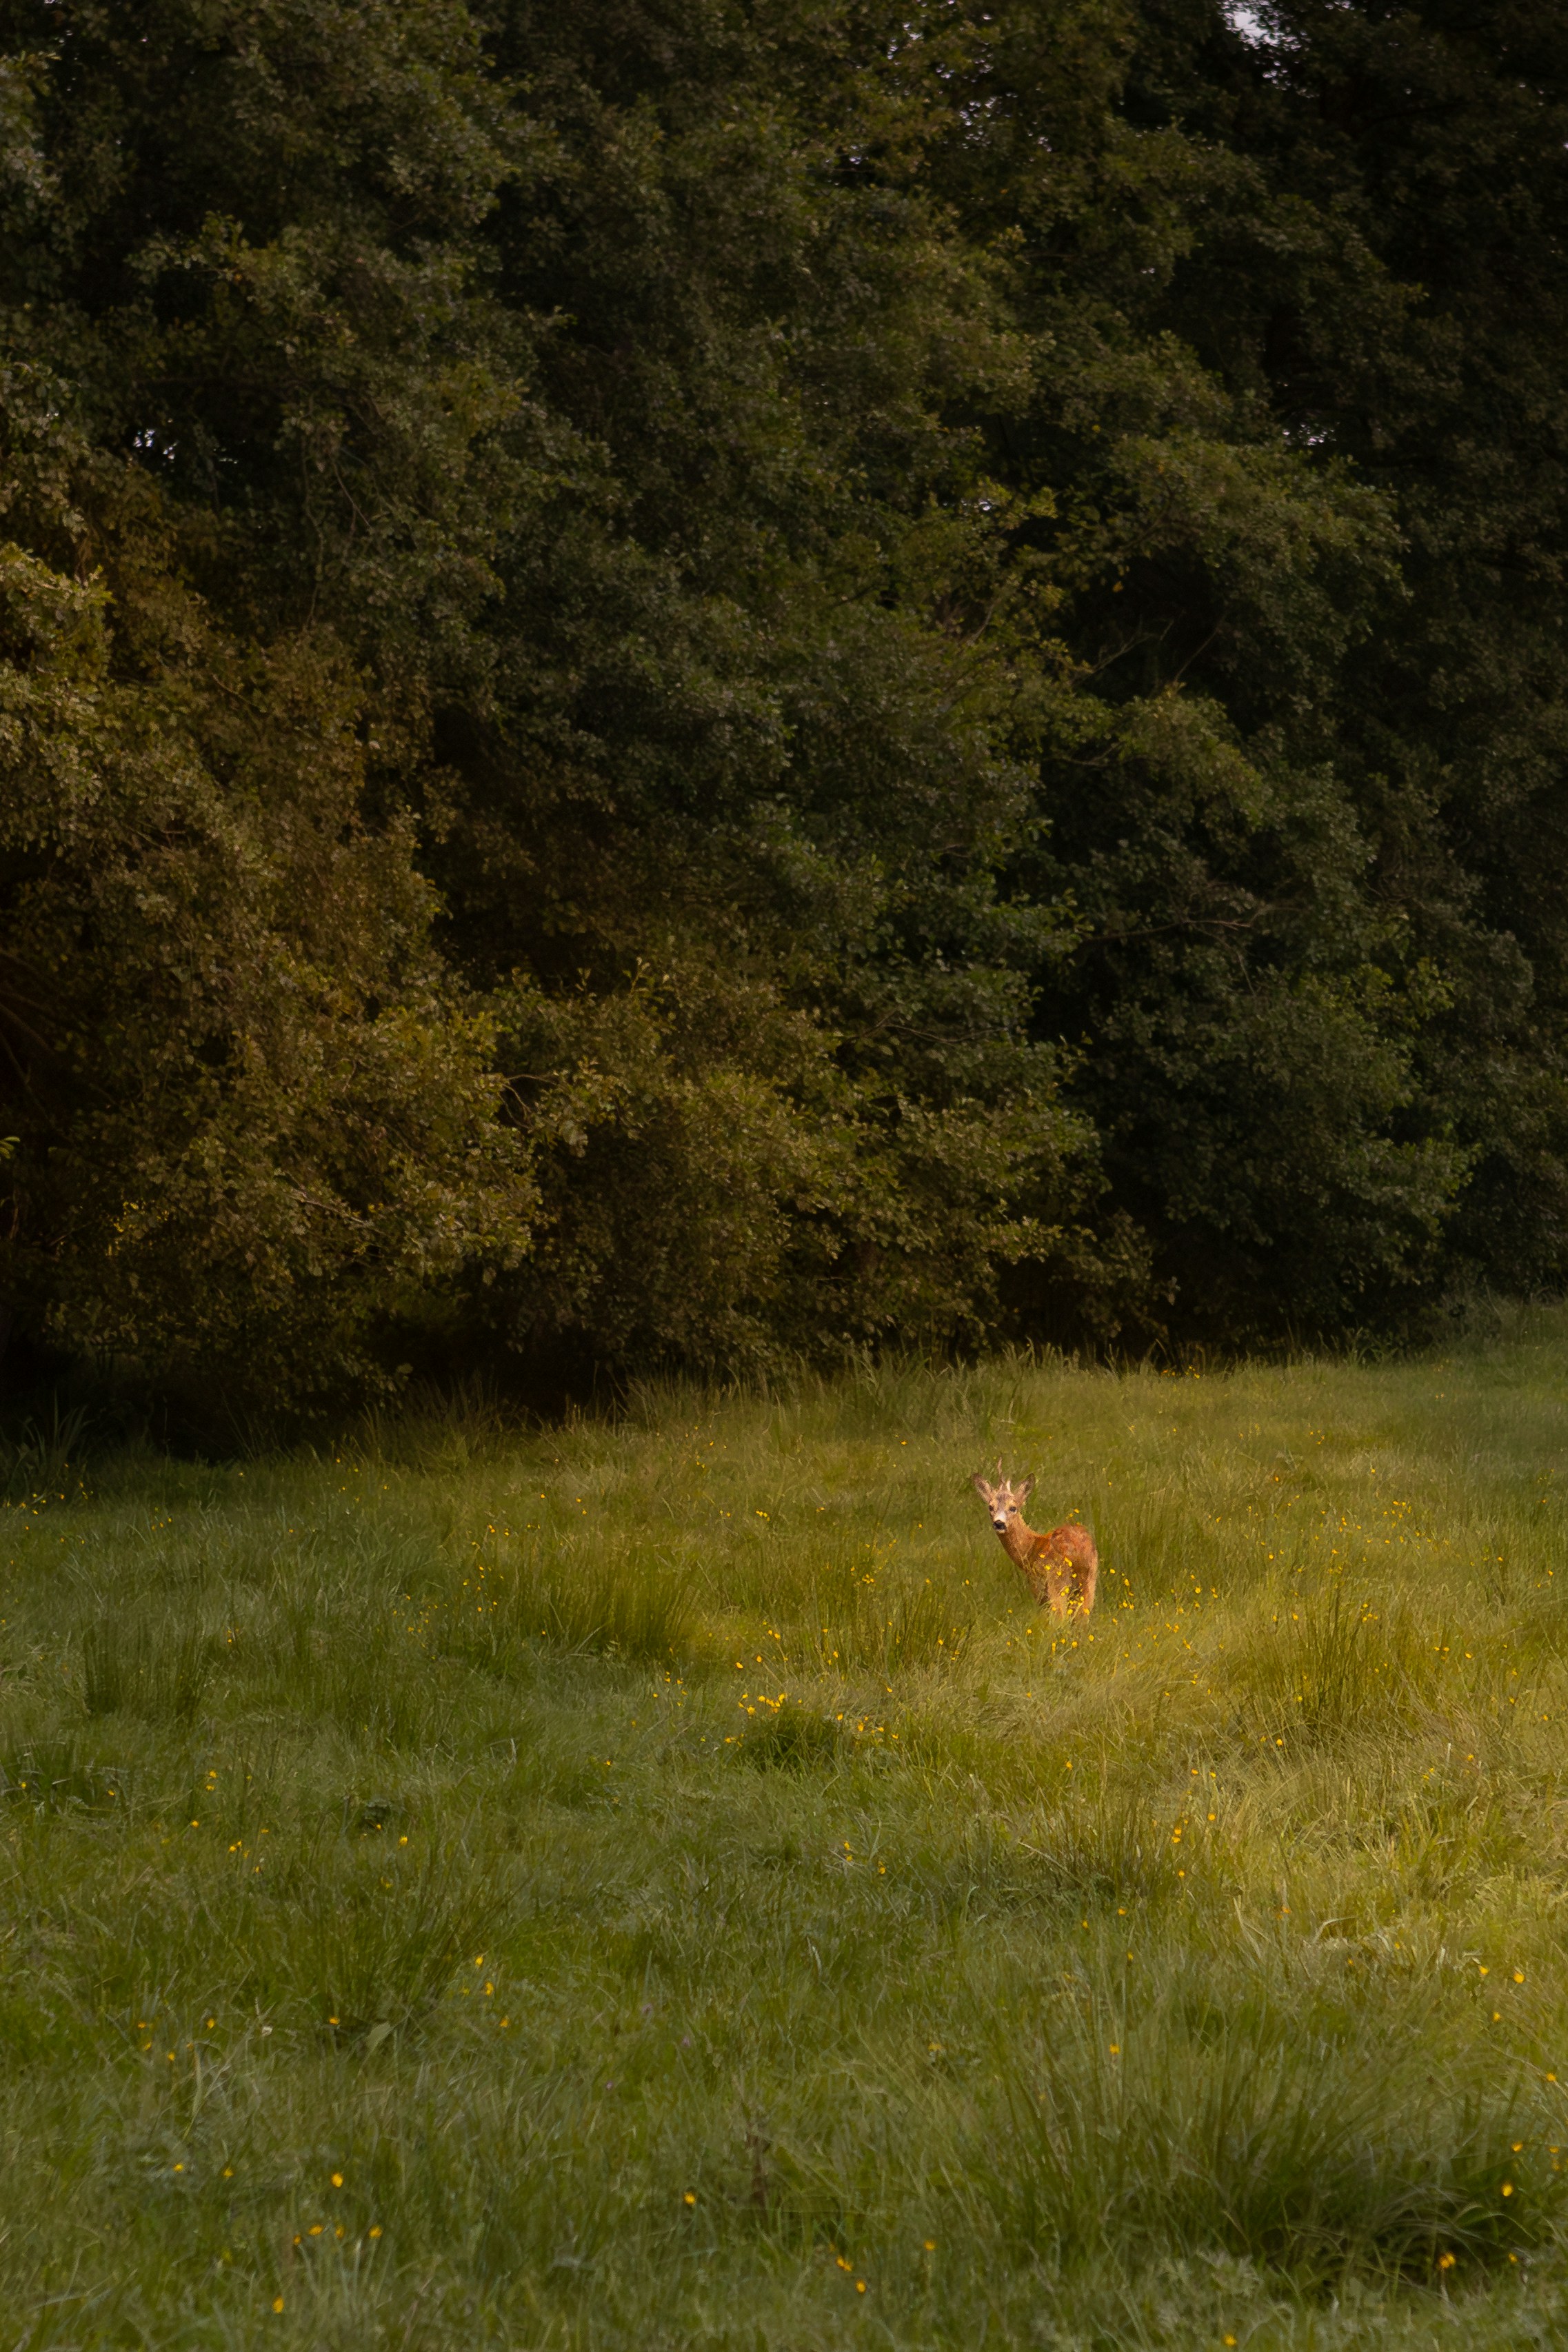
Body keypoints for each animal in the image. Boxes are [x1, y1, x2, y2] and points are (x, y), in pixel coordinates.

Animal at [972, 1461, 1098, 1619]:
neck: (1030, 1549)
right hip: (1090, 1581)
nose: (999, 1523)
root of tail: (1078, 1551)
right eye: (991, 1507)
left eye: (1013, 1508)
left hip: (1058, 1579)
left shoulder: (1037, 1585)